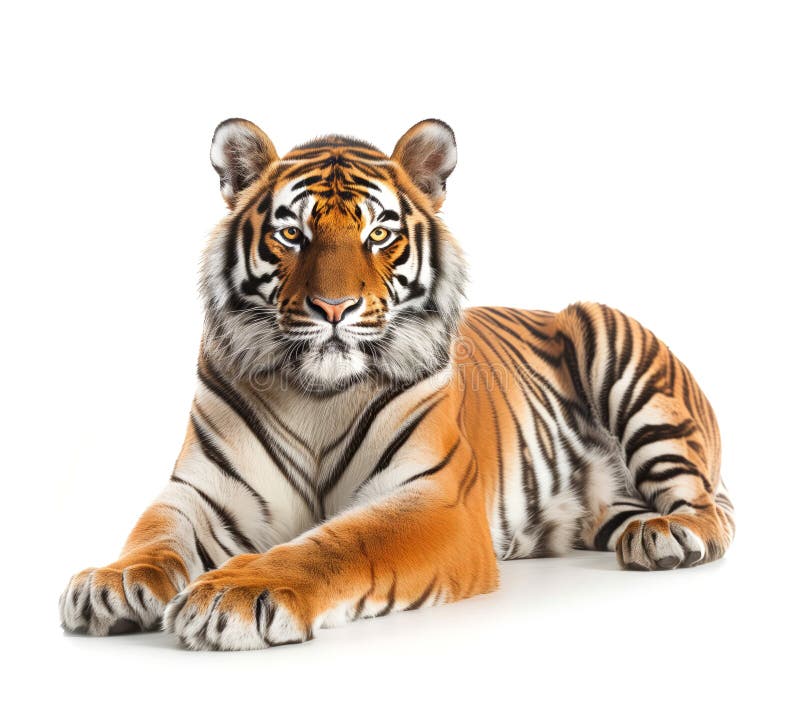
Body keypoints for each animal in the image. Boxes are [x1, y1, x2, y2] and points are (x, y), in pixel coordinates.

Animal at [59, 118, 735, 650]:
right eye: (291, 234)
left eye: (379, 233)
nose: (334, 308)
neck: (317, 398)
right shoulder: (200, 492)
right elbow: (153, 533)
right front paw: (113, 582)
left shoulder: (433, 499)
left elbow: (339, 544)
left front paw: (237, 591)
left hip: (613, 342)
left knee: (709, 510)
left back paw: (667, 535)